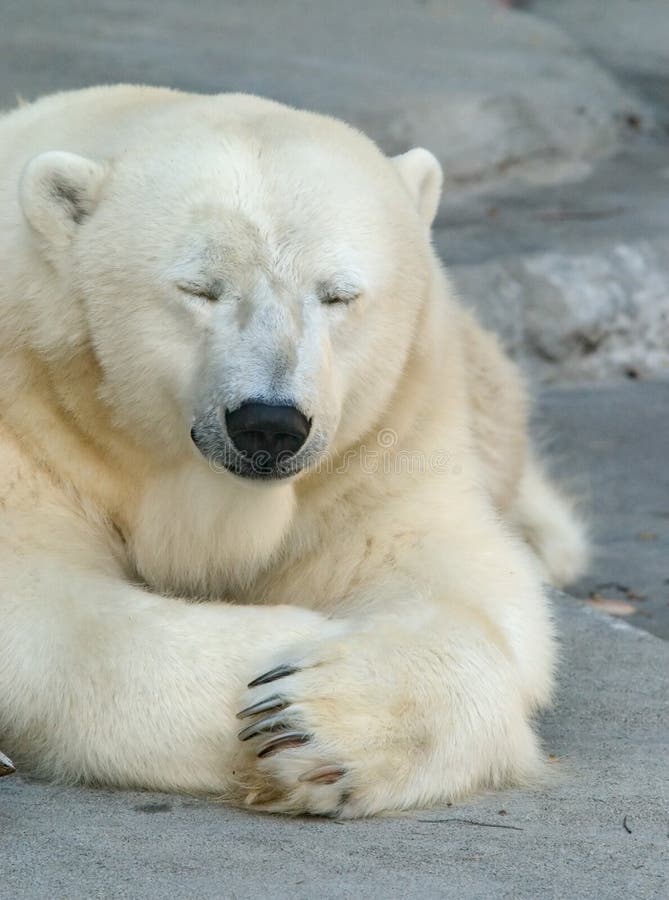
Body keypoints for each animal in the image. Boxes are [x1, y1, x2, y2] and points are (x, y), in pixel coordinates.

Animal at [0, 85, 587, 817]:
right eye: (199, 288)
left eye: (338, 294)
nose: (269, 423)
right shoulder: (31, 422)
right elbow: (45, 601)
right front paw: (277, 657)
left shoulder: (381, 448)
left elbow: (466, 582)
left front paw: (313, 718)